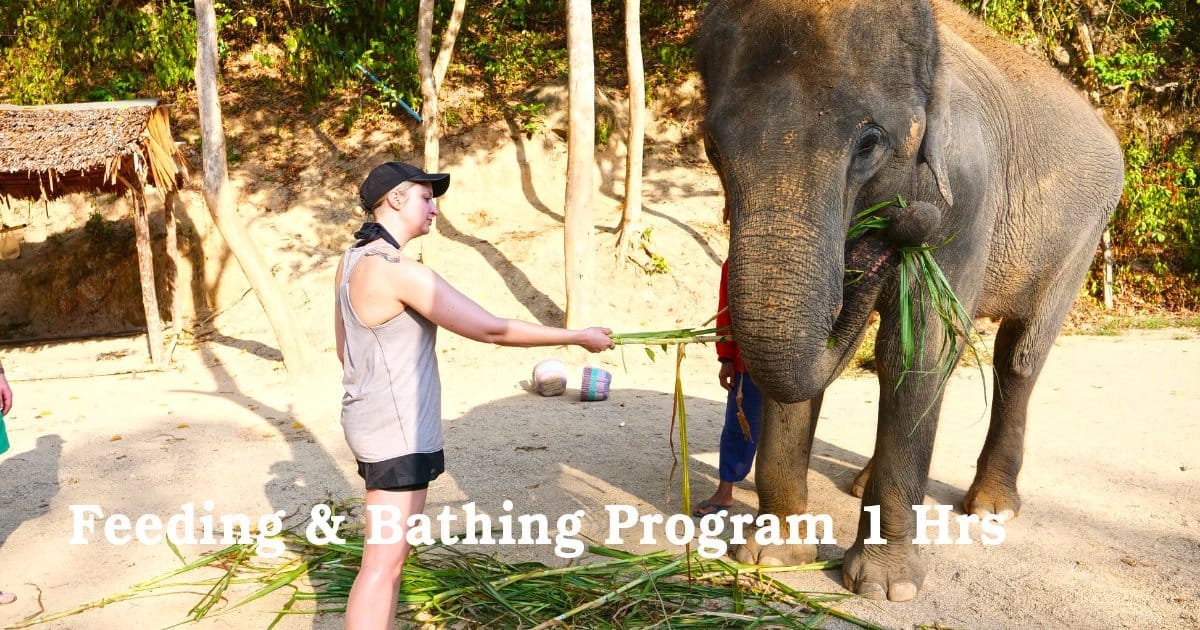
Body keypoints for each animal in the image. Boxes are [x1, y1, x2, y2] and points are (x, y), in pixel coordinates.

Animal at [694, 0, 1124, 601]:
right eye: (712, 145)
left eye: (869, 142)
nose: (893, 230)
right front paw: (772, 558)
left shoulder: (965, 200)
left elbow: (921, 350)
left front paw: (884, 589)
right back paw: (861, 485)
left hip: (1083, 238)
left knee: (1019, 357)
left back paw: (991, 508)